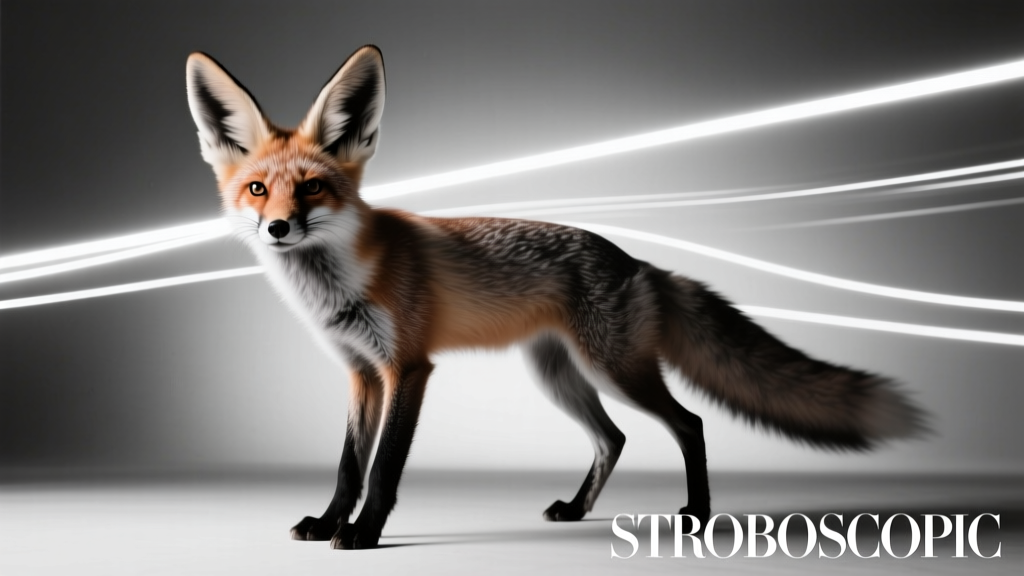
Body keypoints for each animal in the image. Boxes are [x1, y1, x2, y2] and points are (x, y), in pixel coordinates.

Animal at [185, 45, 925, 550]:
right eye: (258, 189)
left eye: (312, 188)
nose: (278, 228)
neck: (338, 282)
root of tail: (637, 261)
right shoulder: (361, 372)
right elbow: (347, 464)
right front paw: (328, 522)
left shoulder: (408, 368)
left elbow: (384, 467)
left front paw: (364, 533)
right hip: (558, 376)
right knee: (615, 437)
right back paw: (577, 510)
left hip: (614, 369)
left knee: (688, 423)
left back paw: (698, 516)